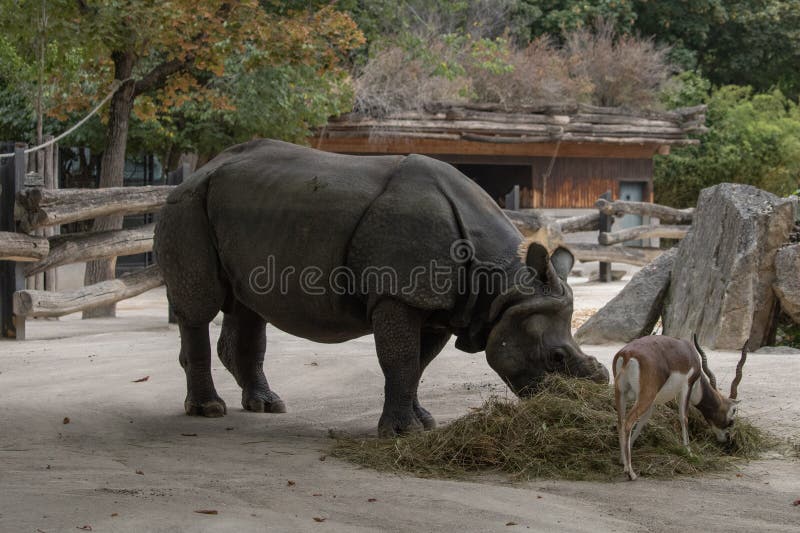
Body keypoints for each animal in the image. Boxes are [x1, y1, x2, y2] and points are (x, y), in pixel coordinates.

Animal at [154, 139, 608, 436]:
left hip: (241, 211)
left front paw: (422, 424)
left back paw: (267, 406)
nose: (578, 401)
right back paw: (209, 411)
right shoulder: (401, 296)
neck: (504, 288)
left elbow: (418, 365)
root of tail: (199, 171)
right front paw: (402, 433)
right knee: (199, 308)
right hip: (187, 205)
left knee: (249, 307)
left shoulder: (442, 306)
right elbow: (401, 360)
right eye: (555, 357)